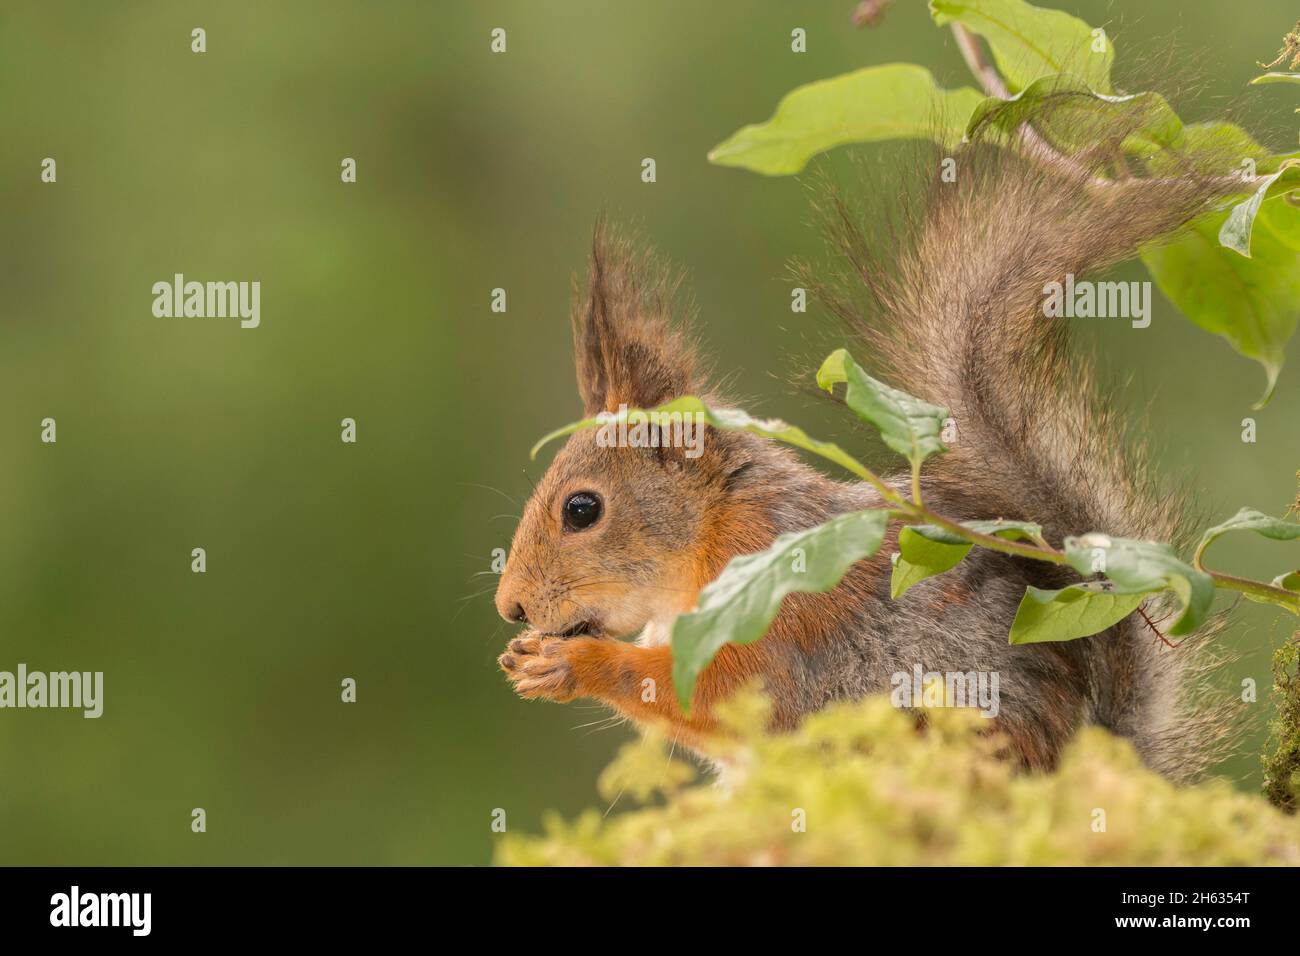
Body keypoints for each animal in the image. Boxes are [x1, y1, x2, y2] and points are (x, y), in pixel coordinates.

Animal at [494, 136, 1245, 782]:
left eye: (581, 509)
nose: (511, 609)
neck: (712, 530)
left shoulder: (780, 609)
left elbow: (721, 692)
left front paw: (572, 664)